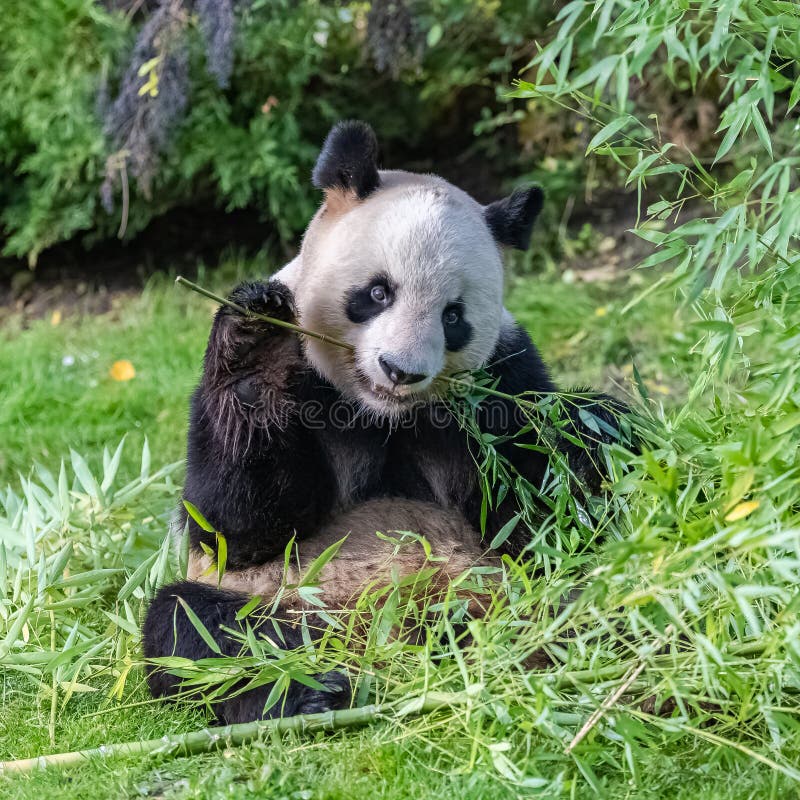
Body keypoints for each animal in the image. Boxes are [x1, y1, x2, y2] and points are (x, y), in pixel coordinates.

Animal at [142, 120, 626, 724]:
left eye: (453, 316)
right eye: (377, 292)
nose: (400, 370)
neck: (381, 414)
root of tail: (382, 633)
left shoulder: (503, 377)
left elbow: (534, 509)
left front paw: (588, 438)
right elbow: (235, 526)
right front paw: (256, 344)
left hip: (502, 588)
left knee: (581, 597)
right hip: (280, 599)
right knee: (197, 629)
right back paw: (309, 690)